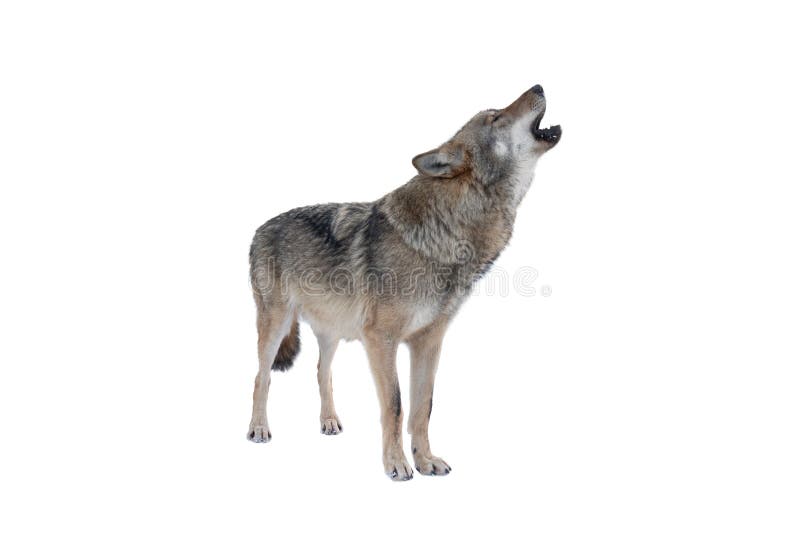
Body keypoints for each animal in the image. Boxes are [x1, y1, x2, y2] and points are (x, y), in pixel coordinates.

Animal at [247, 84, 561, 481]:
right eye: (494, 117)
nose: (539, 86)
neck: (448, 229)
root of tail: (260, 227)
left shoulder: (428, 342)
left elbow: (423, 407)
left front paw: (426, 460)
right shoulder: (381, 340)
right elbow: (395, 405)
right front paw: (397, 464)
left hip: (331, 333)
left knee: (322, 372)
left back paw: (329, 421)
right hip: (276, 326)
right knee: (261, 377)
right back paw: (258, 428)